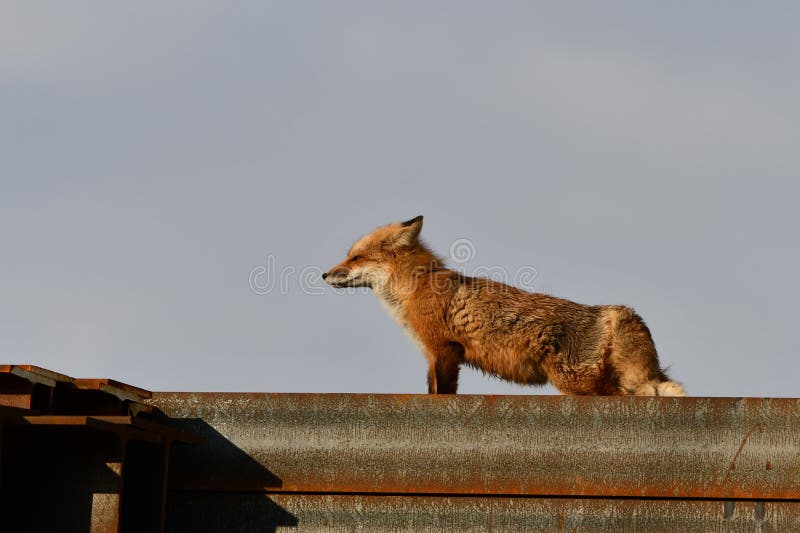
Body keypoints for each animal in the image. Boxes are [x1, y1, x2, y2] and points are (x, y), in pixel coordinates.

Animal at [323, 216, 685, 396]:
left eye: (356, 257)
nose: (324, 274)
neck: (417, 286)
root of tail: (612, 312)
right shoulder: (434, 354)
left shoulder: (443, 350)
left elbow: (441, 393)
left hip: (577, 383)